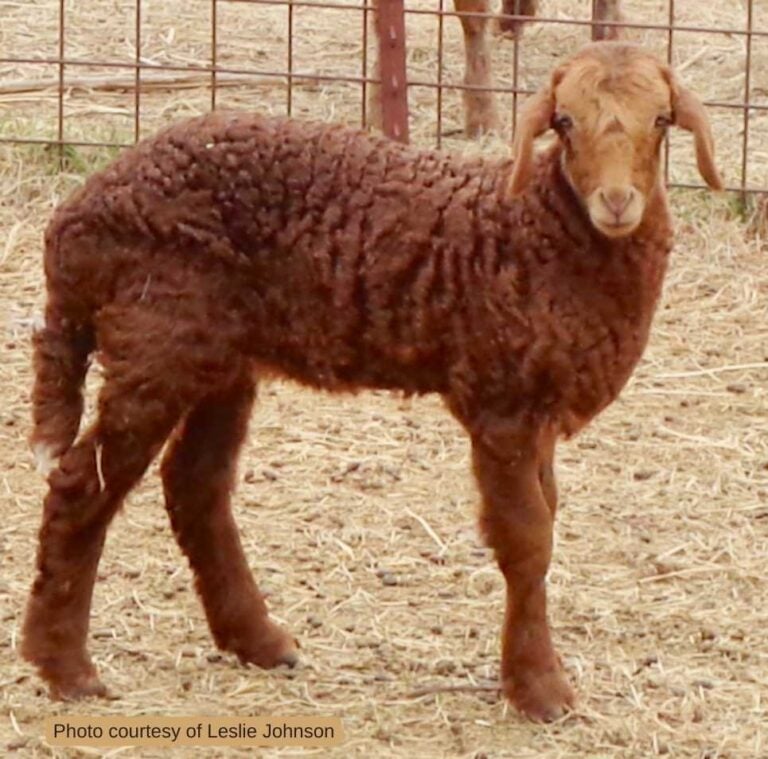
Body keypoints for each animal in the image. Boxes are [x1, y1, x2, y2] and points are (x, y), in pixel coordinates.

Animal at [22, 42, 722, 722]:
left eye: (661, 121)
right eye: (565, 122)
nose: (617, 203)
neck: (535, 233)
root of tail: (69, 227)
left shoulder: (537, 404)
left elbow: (546, 522)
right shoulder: (502, 401)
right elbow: (527, 541)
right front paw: (539, 691)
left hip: (218, 357)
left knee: (195, 485)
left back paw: (258, 640)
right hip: (154, 341)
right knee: (82, 483)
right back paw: (66, 668)